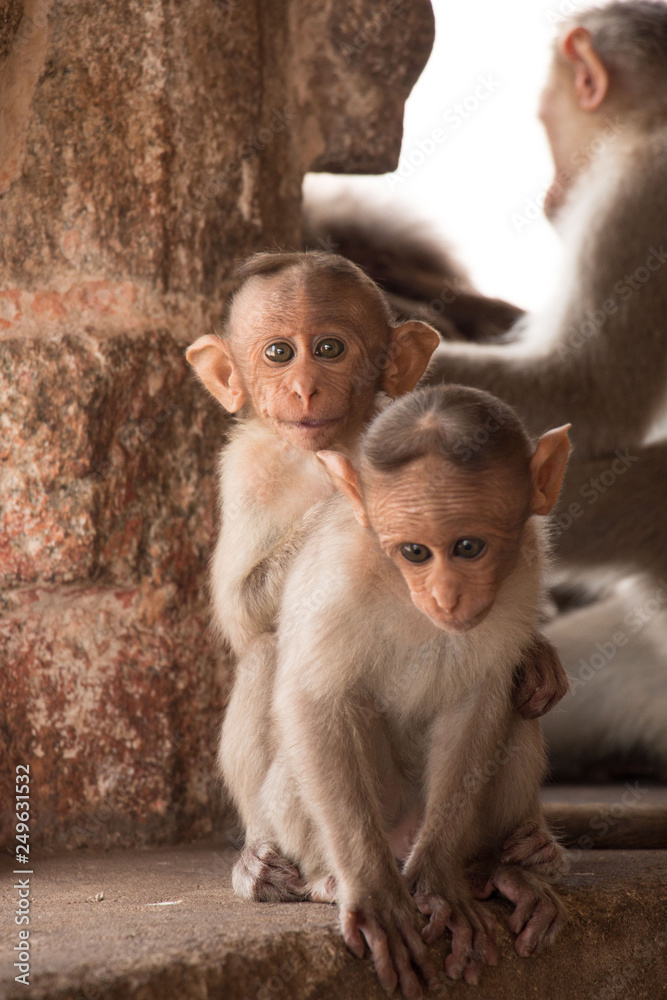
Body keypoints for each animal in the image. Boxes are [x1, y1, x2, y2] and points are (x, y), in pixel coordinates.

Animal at [232, 385, 570, 997]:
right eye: (414, 551)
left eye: (469, 546)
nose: (446, 595)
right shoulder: (337, 573)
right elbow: (314, 701)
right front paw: (374, 895)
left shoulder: (523, 570)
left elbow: (477, 705)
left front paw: (438, 884)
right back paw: (326, 879)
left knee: (513, 709)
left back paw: (498, 871)